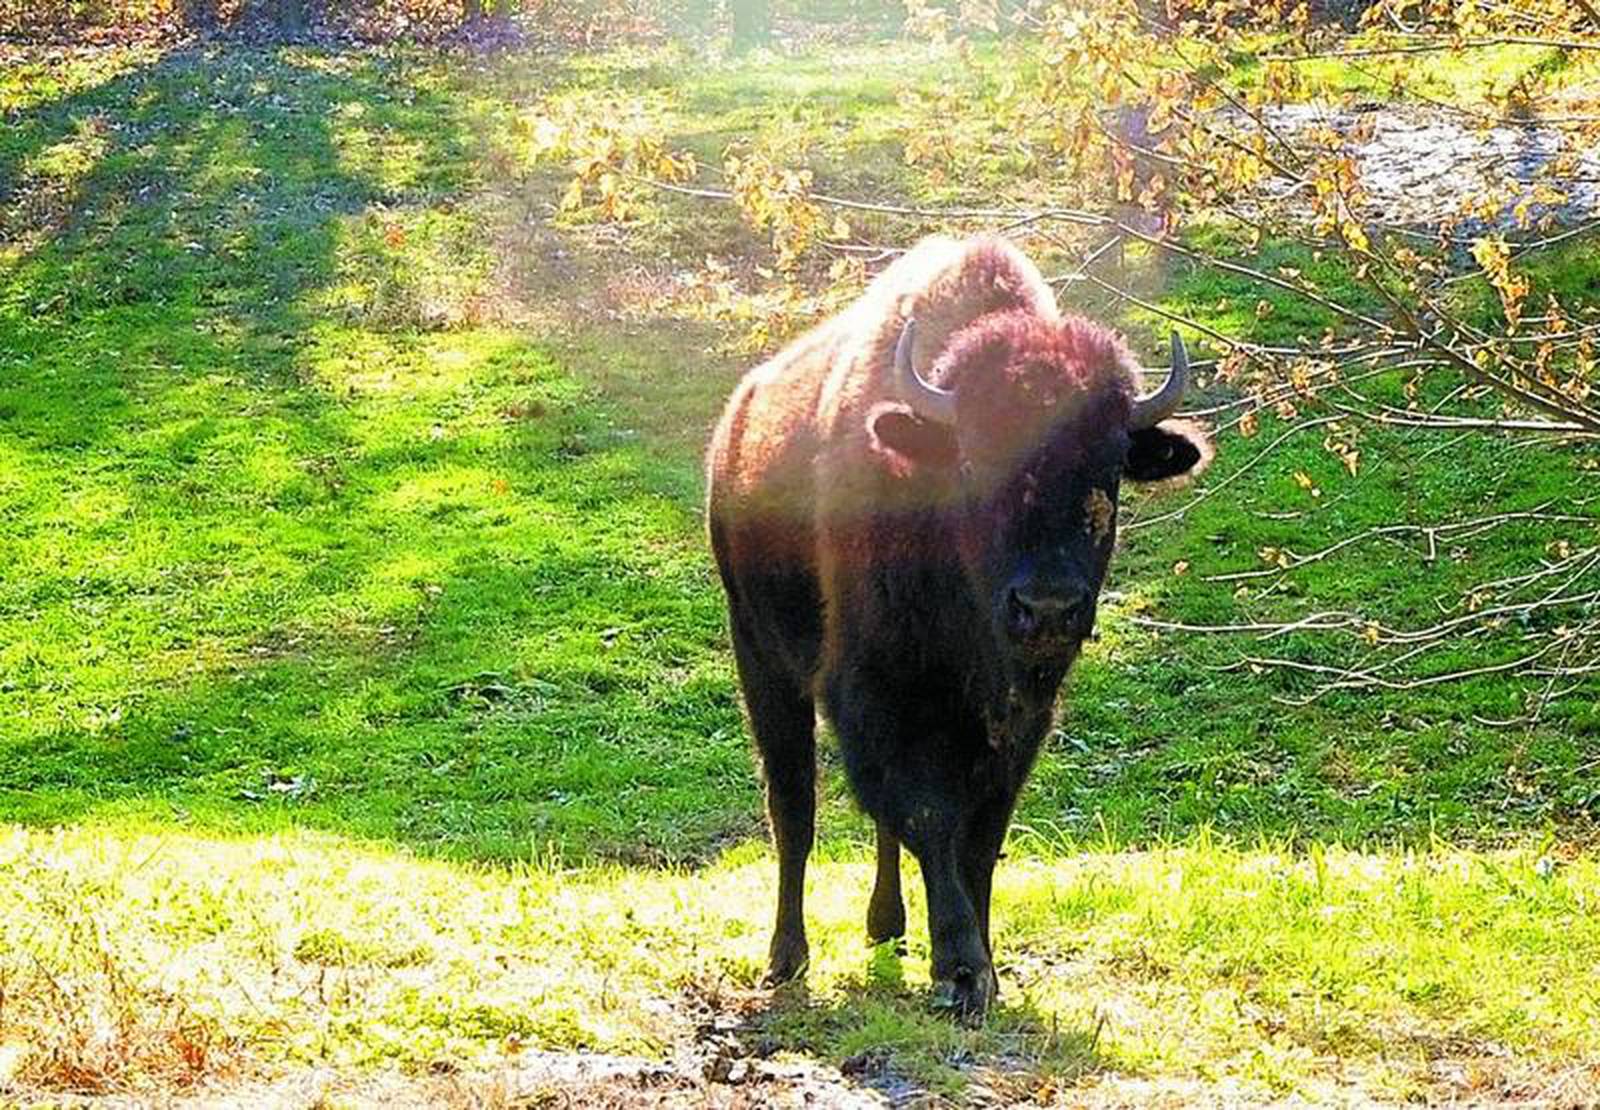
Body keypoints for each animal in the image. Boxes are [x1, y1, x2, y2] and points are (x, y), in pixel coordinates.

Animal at [706, 234, 1211, 1019]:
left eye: (1107, 466)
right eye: (973, 458)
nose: (1047, 608)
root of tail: (737, 418)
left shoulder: (1016, 720)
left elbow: (979, 834)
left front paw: (986, 962)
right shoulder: (877, 693)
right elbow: (928, 818)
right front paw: (962, 972)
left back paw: (886, 927)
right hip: (762, 660)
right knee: (794, 808)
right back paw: (787, 958)